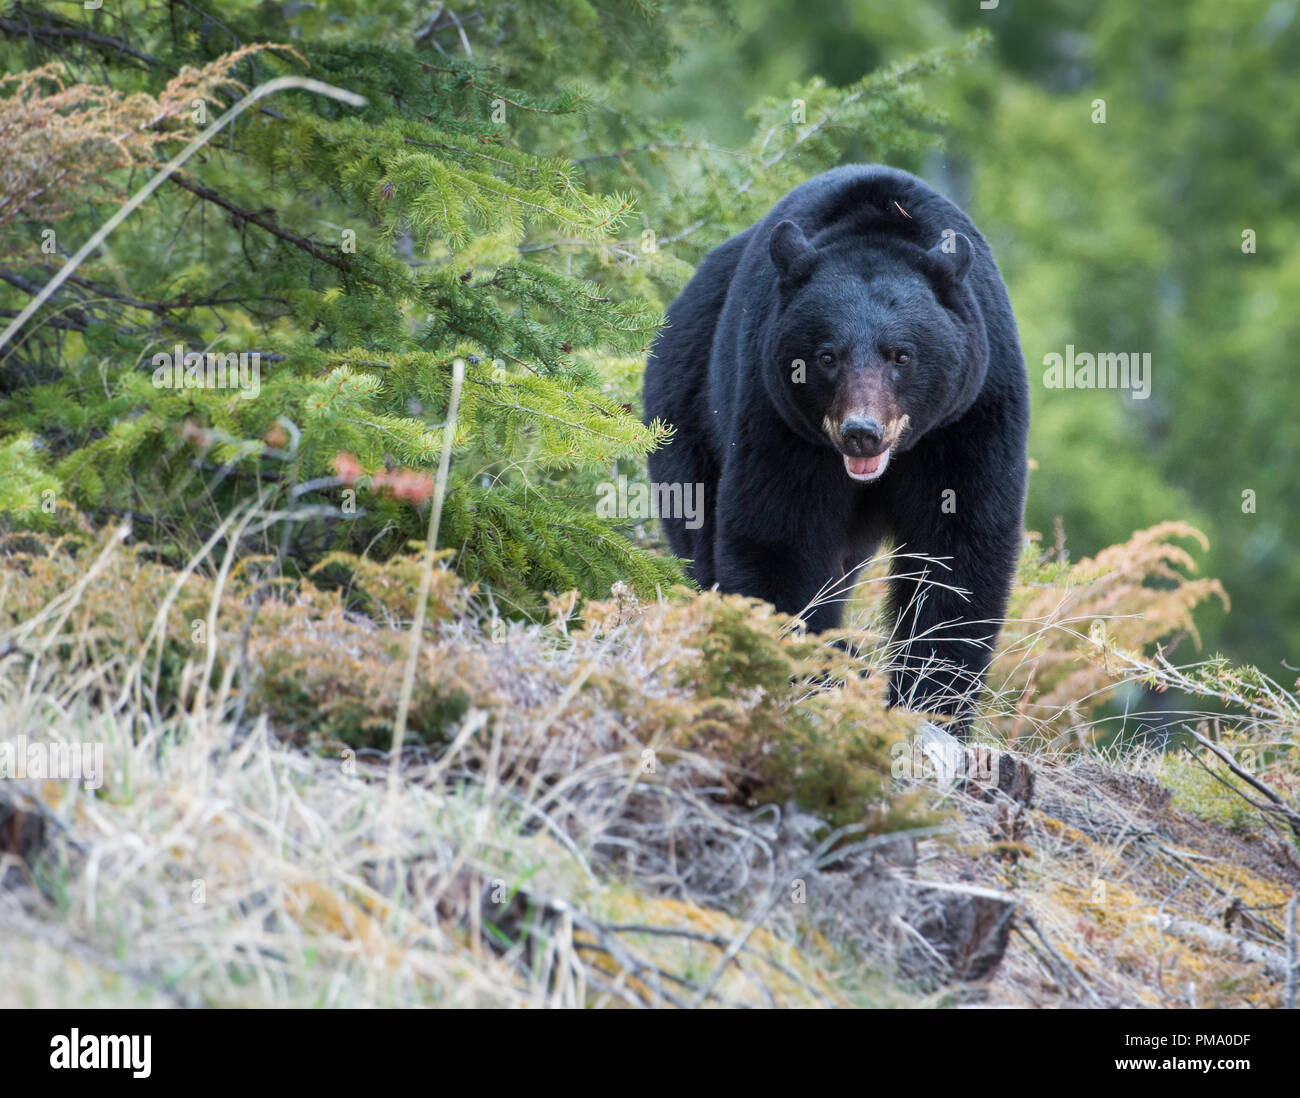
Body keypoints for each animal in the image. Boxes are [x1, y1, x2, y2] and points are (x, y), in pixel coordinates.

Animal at [642, 164, 1029, 728]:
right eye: (827, 356)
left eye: (901, 354)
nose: (861, 431)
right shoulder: (776, 416)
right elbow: (778, 534)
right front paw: (797, 676)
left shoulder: (971, 415)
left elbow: (960, 547)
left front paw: (931, 703)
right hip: (684, 415)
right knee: (701, 531)